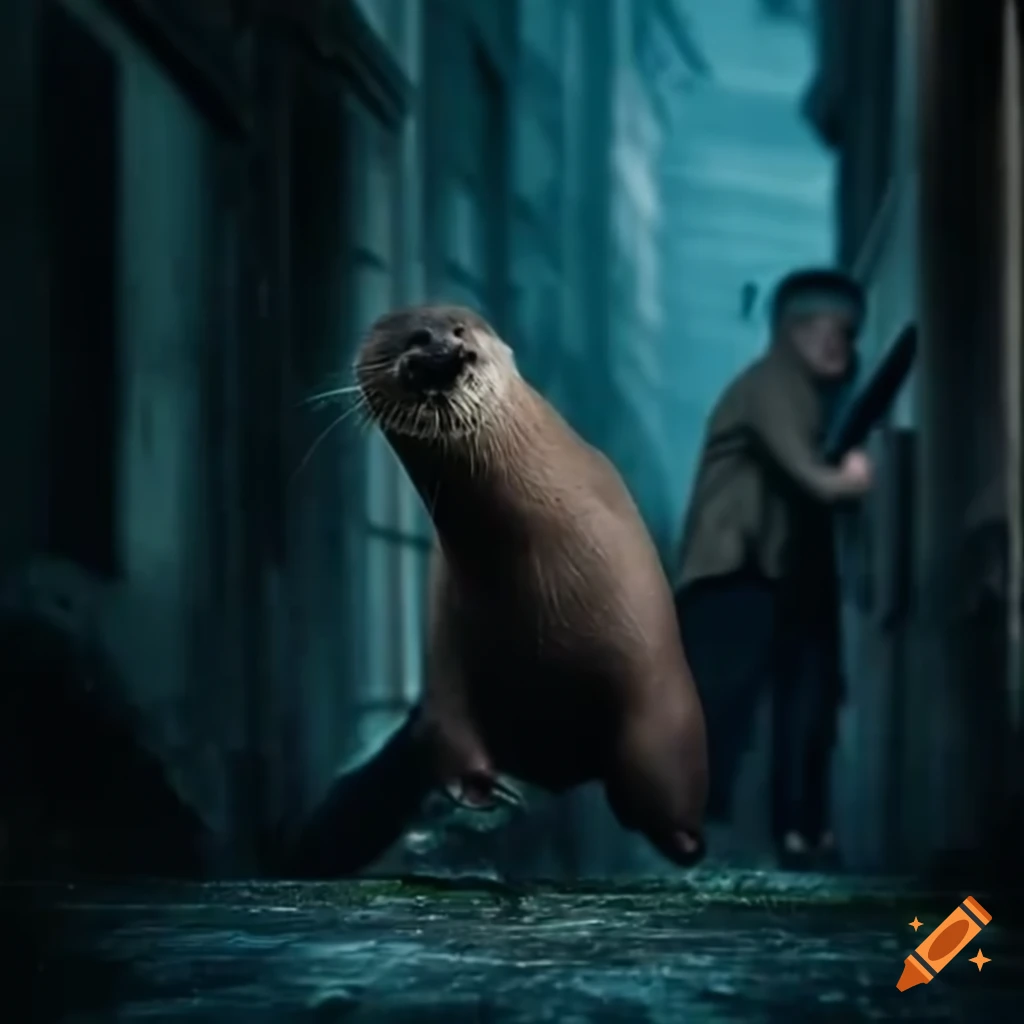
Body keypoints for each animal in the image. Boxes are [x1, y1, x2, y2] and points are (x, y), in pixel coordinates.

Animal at [288, 305, 708, 875]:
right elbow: (455, 739)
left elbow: (656, 771)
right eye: (413, 337)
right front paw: (481, 794)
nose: (440, 351)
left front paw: (684, 839)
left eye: (459, 330)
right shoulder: (446, 660)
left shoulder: (657, 681)